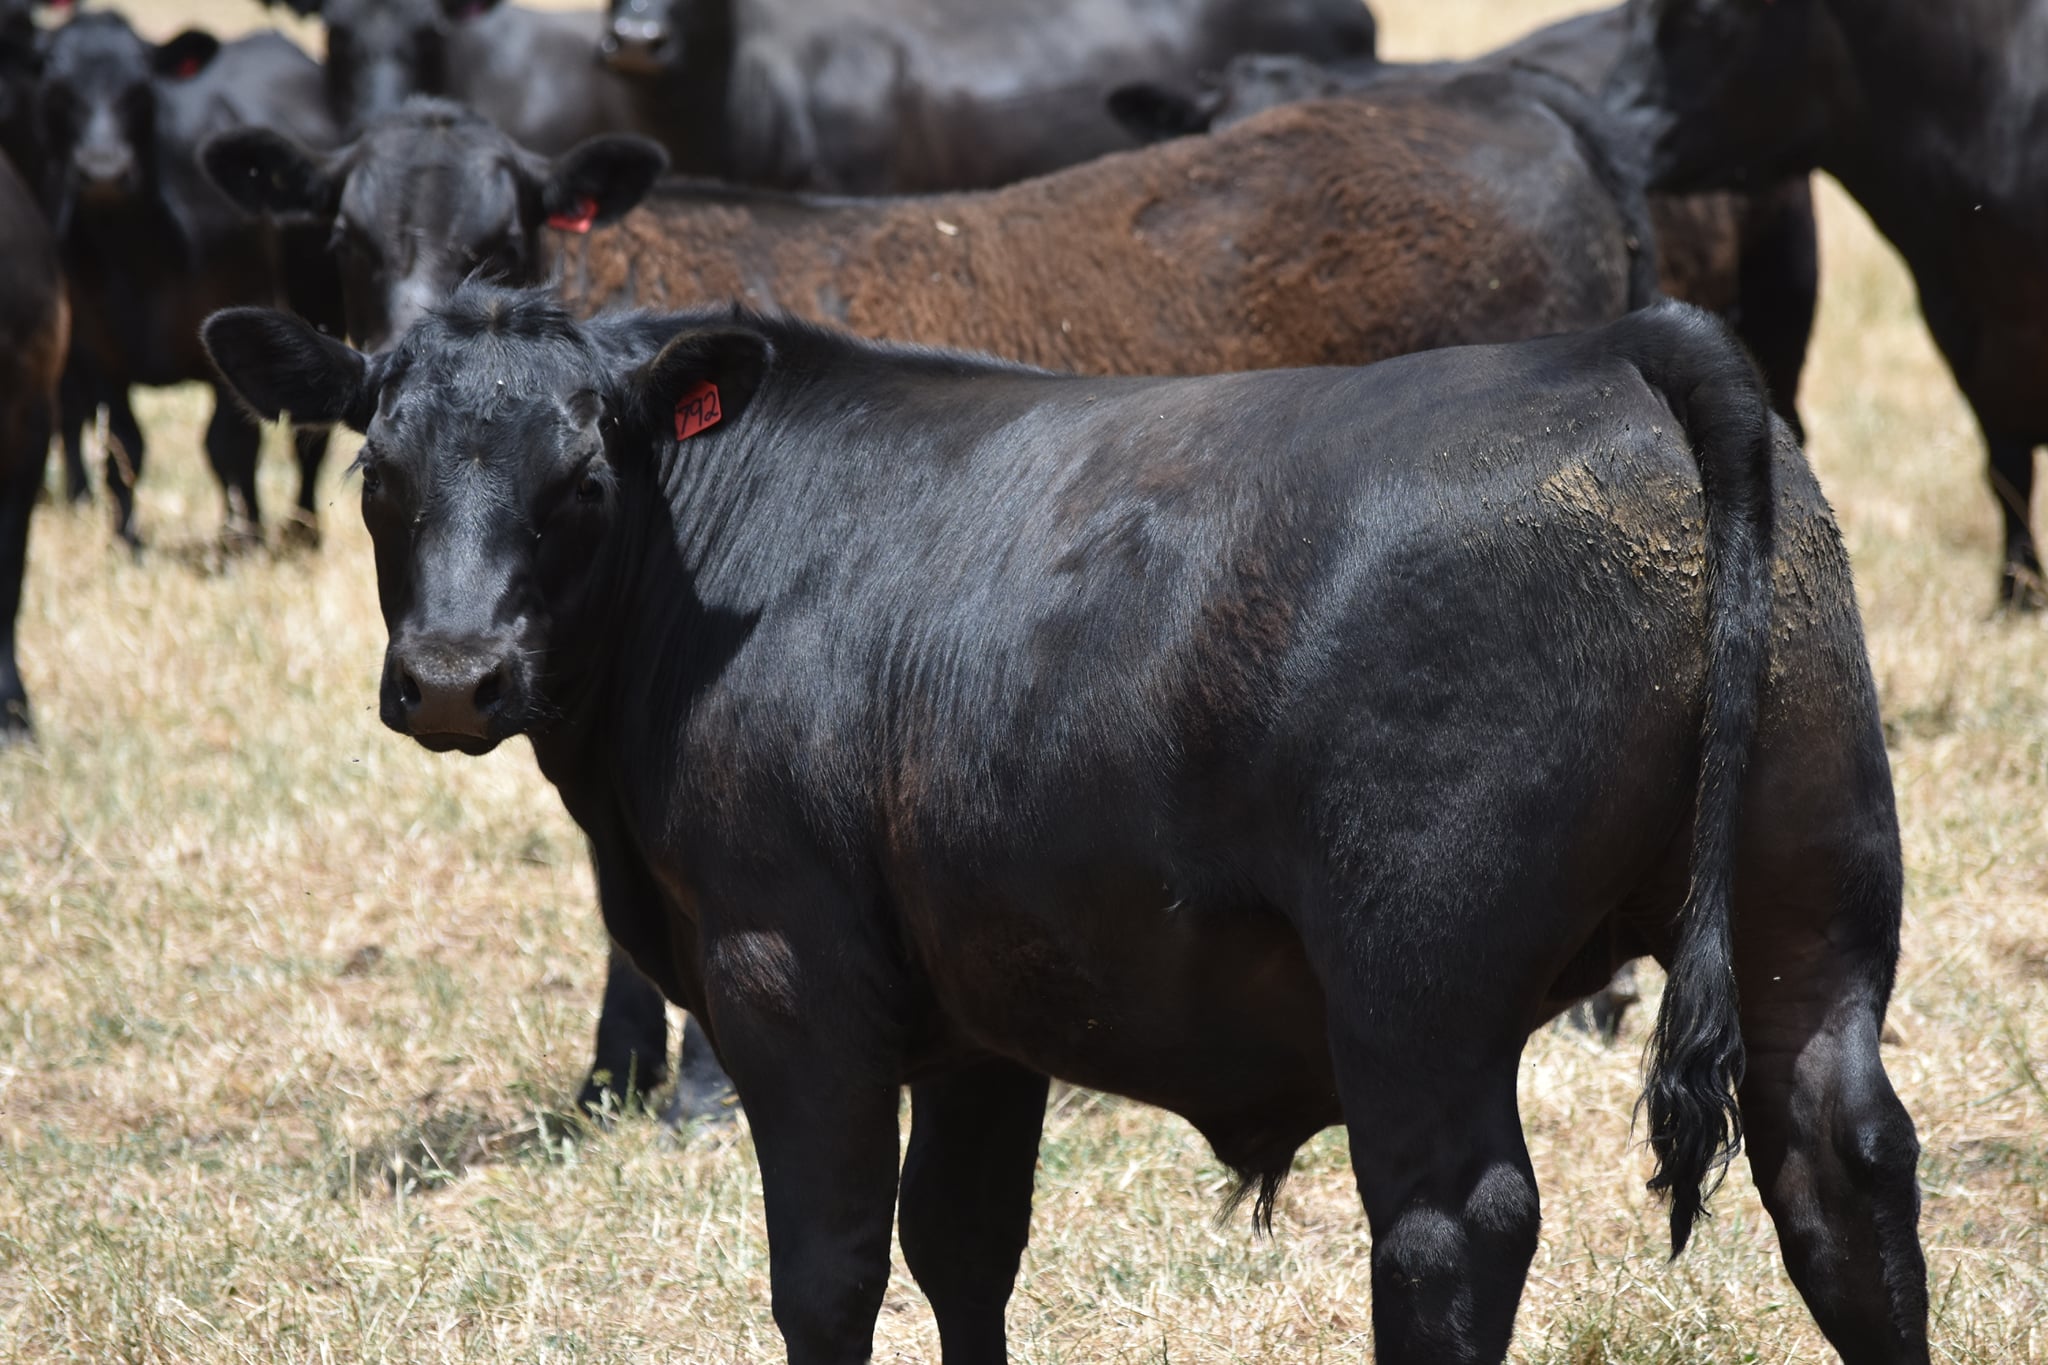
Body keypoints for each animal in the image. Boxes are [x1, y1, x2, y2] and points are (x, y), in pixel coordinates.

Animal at [34, 12, 344, 548]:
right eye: (57, 88)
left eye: (140, 88)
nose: (102, 170)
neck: (142, 252)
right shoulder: (98, 350)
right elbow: (123, 446)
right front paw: (128, 540)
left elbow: (230, 446)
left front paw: (242, 538)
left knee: (310, 440)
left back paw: (300, 528)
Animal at [204, 279, 1928, 1364]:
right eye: (379, 474)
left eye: (580, 480)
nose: (452, 674)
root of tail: (1626, 344)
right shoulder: (983, 1013)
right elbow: (964, 1248)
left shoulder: (787, 976)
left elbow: (827, 1270)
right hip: (1809, 912)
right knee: (1844, 1166)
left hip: (1414, 988)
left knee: (1453, 1229)